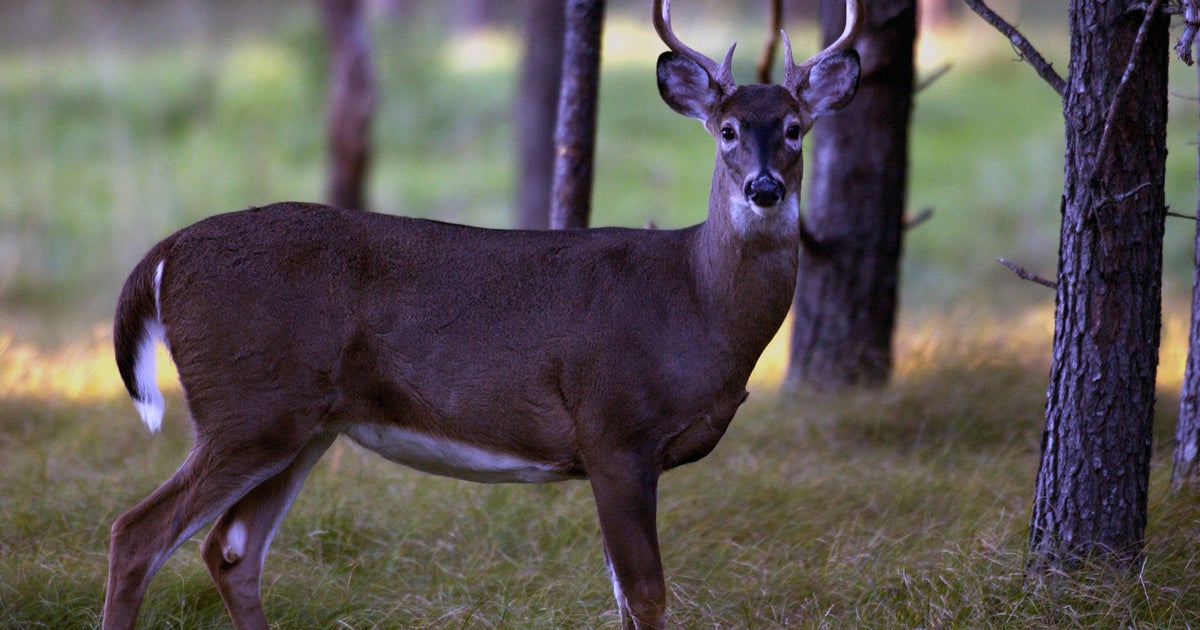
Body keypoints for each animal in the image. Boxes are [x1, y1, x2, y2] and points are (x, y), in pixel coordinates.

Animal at [102, 1, 861, 628]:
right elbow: (646, 596)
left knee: (232, 550)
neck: (695, 306)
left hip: (305, 423)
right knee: (138, 533)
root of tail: (165, 254)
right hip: (247, 403)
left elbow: (624, 596)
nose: (764, 189)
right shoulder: (614, 429)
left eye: (795, 129)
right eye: (727, 130)